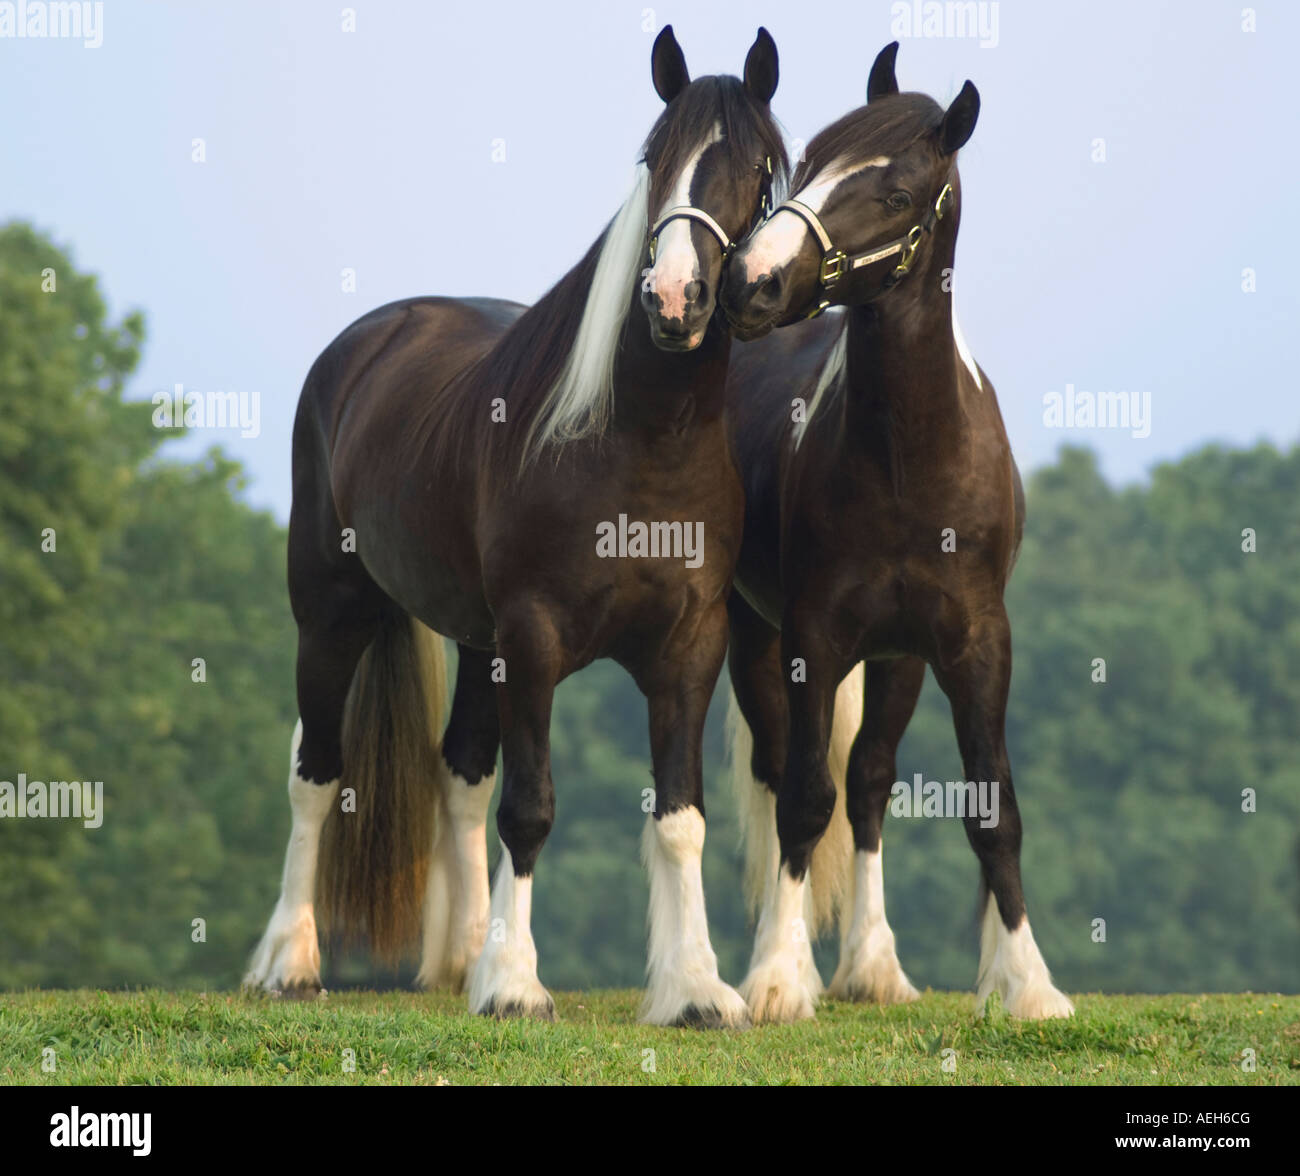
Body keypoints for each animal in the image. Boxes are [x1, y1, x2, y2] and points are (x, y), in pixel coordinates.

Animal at [243, 25, 788, 1029]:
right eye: (655, 158)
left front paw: (695, 988)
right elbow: (531, 807)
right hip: (330, 614)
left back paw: (460, 955)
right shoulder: (535, 638)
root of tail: (368, 340)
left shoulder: (689, 646)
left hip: (473, 641)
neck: (641, 439)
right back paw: (289, 962)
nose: (674, 299)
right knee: (316, 773)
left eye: (759, 169)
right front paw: (516, 984)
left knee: (459, 776)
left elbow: (679, 820)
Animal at [716, 42, 1074, 1024]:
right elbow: (805, 798)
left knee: (871, 782)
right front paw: (775, 980)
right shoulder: (811, 636)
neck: (910, 460)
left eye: (897, 194)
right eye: (805, 166)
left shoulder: (975, 642)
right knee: (789, 777)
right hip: (756, 638)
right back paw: (799, 963)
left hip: (899, 658)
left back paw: (873, 967)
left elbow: (990, 805)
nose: (749, 282)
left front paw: (1028, 982)